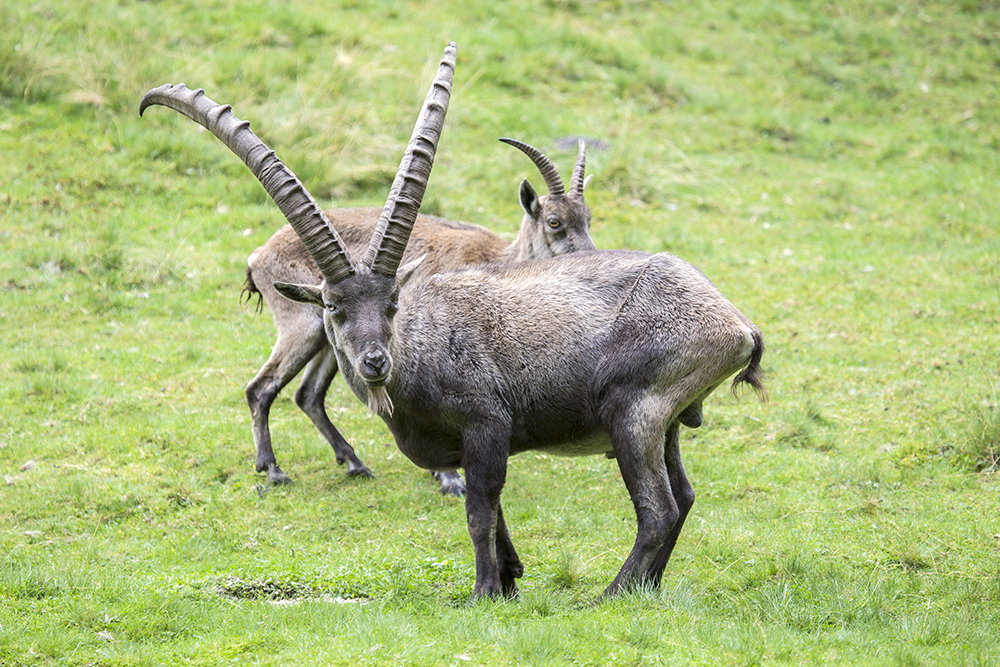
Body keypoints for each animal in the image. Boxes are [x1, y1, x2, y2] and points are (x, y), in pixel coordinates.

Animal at [241, 139, 594, 491]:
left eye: (588, 218)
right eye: (554, 221)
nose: (590, 255)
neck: (500, 258)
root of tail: (257, 255)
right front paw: (449, 478)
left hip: (330, 340)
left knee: (308, 394)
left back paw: (354, 462)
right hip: (304, 327)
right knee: (261, 388)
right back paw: (272, 468)